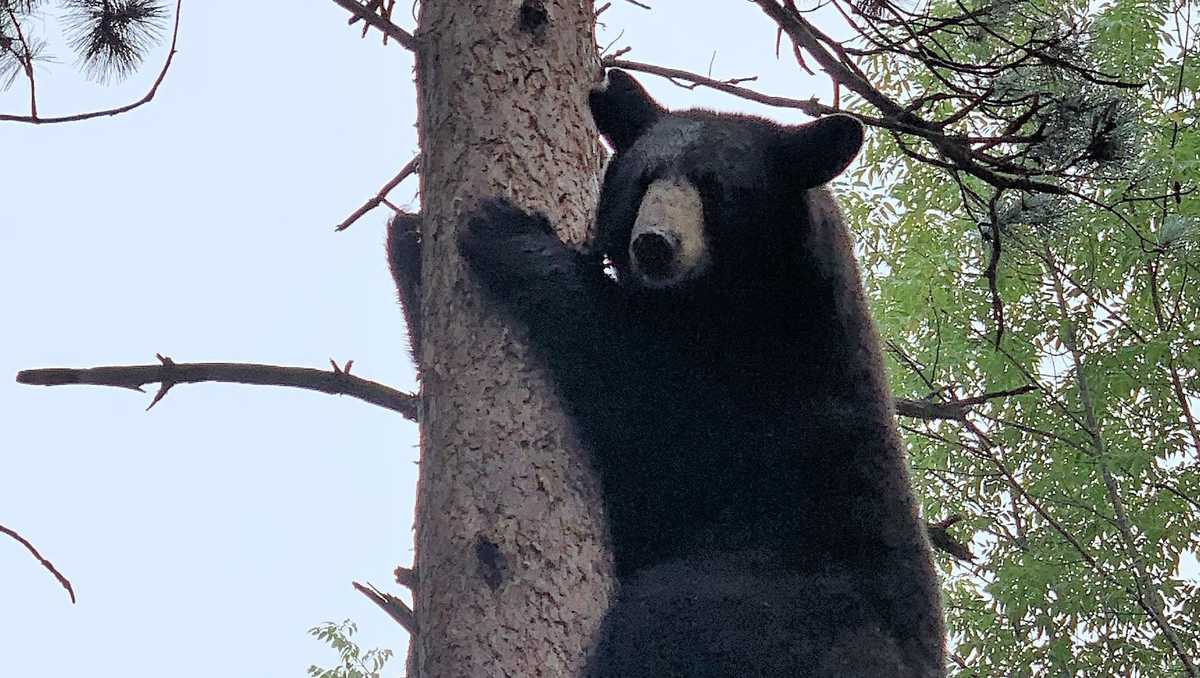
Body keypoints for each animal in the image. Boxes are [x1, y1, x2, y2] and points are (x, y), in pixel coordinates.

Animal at [457, 69, 946, 678]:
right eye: (643, 179)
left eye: (716, 188)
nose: (654, 245)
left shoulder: (772, 392)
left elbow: (650, 399)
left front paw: (500, 232)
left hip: (766, 607)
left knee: (660, 620)